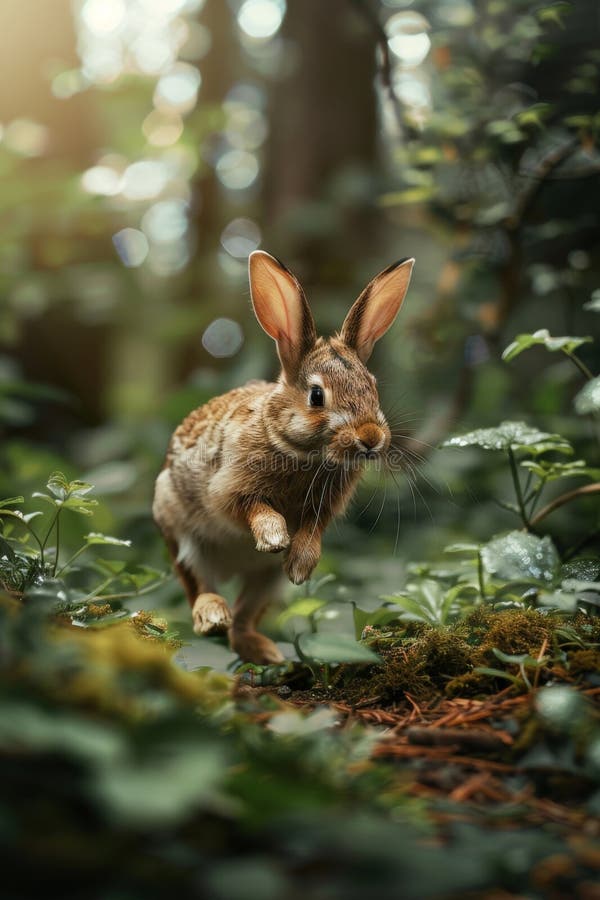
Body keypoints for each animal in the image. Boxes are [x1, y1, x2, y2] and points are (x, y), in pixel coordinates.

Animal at [153, 250, 414, 664]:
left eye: (372, 387)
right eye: (317, 396)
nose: (371, 439)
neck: (304, 452)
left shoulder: (325, 508)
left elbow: (312, 531)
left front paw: (300, 565)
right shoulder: (228, 489)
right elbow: (253, 507)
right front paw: (275, 537)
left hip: (266, 581)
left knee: (243, 619)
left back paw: (265, 651)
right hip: (180, 536)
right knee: (199, 586)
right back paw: (212, 616)